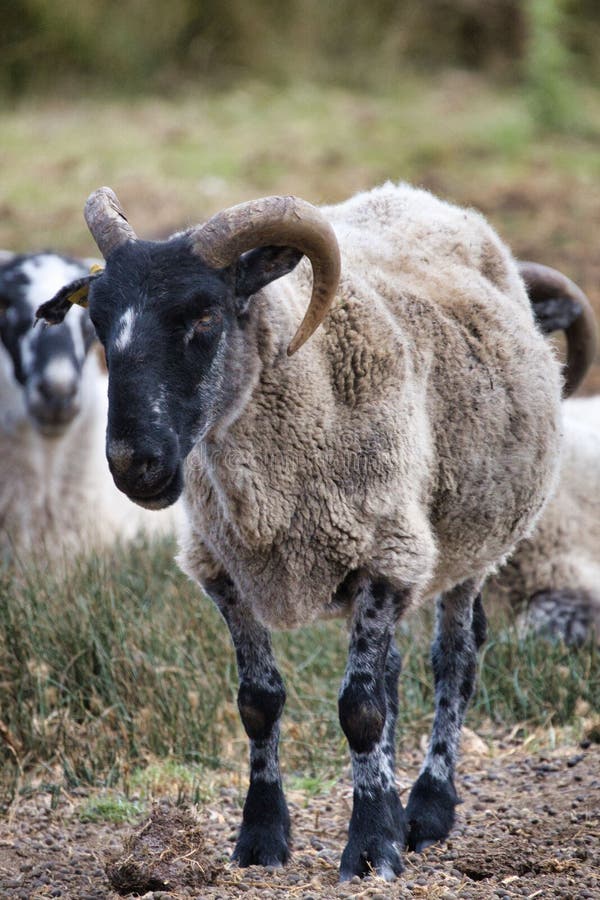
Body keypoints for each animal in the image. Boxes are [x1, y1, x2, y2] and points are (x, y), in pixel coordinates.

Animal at [37, 181, 591, 881]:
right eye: (100, 324)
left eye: (206, 318)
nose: (135, 464)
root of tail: (416, 194)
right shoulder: (226, 573)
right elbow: (259, 703)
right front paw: (261, 838)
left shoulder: (386, 557)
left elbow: (360, 711)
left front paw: (373, 847)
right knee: (394, 669)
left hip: (471, 540)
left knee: (455, 659)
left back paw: (427, 811)